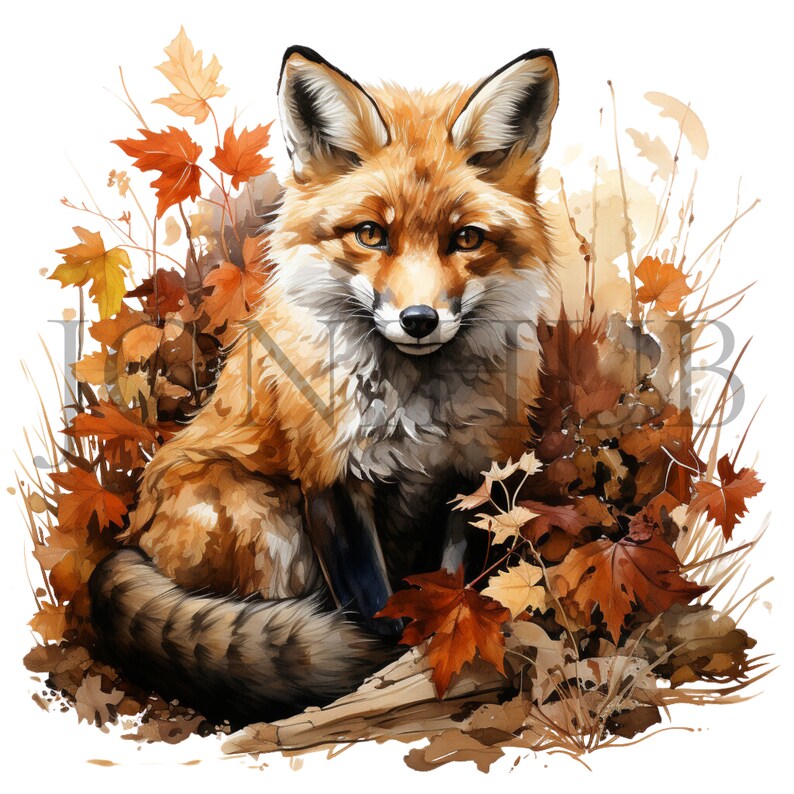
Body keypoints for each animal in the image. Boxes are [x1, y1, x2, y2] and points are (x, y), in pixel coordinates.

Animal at [89, 45, 560, 725]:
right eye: (371, 234)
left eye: (466, 238)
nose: (419, 320)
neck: (417, 410)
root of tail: (130, 538)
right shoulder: (330, 478)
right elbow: (374, 605)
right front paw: (391, 654)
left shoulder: (473, 475)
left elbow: (451, 585)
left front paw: (445, 636)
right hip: (267, 520)